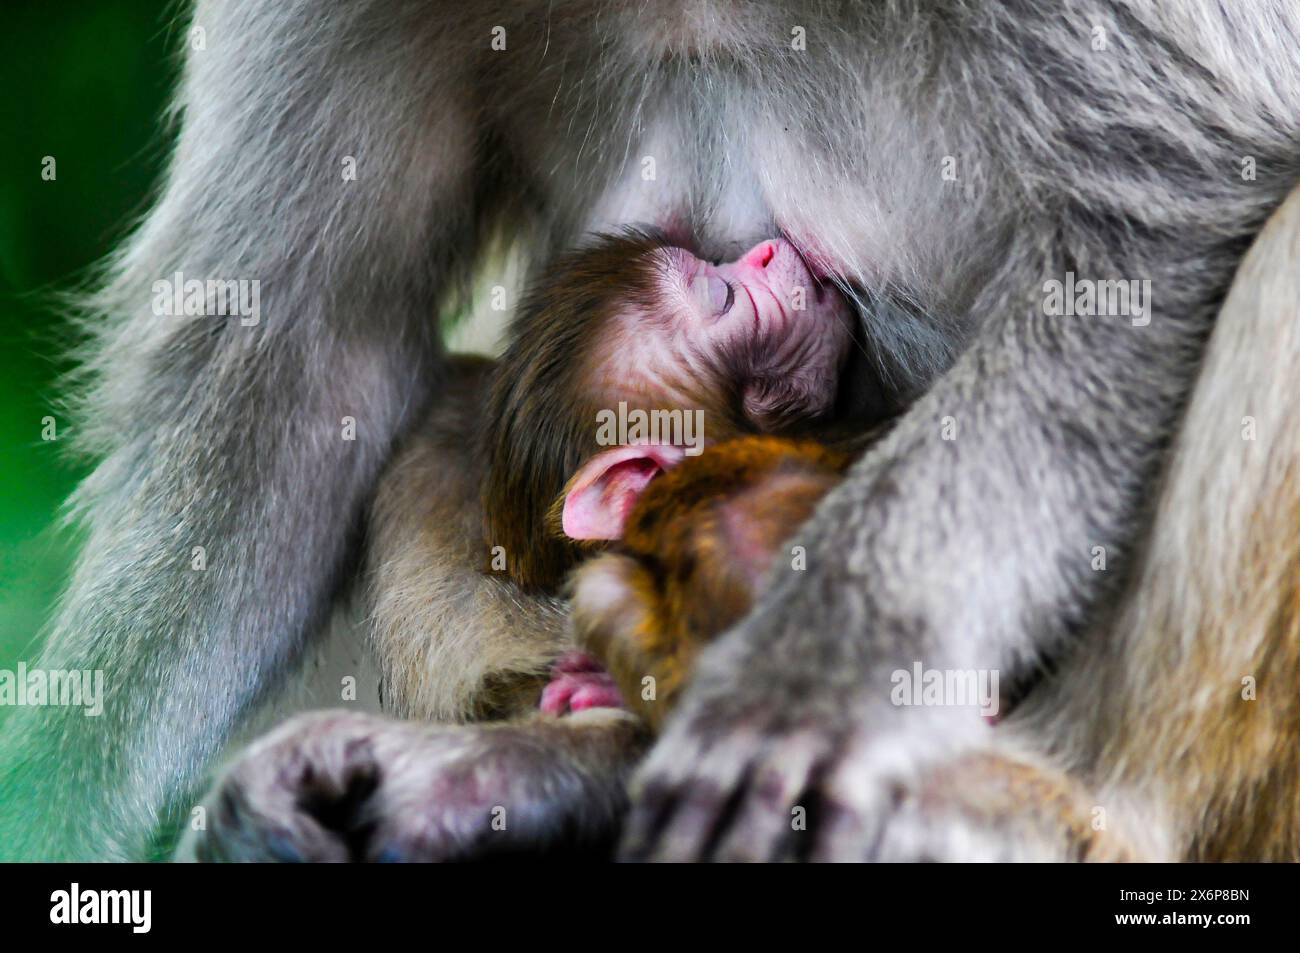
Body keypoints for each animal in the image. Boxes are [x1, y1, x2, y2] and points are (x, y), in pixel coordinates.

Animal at [6, 1, 1300, 862]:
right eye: (718, 294)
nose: (771, 263)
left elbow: (1148, 226)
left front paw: (805, 684)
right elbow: (302, 365)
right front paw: (63, 796)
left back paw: (1062, 812)